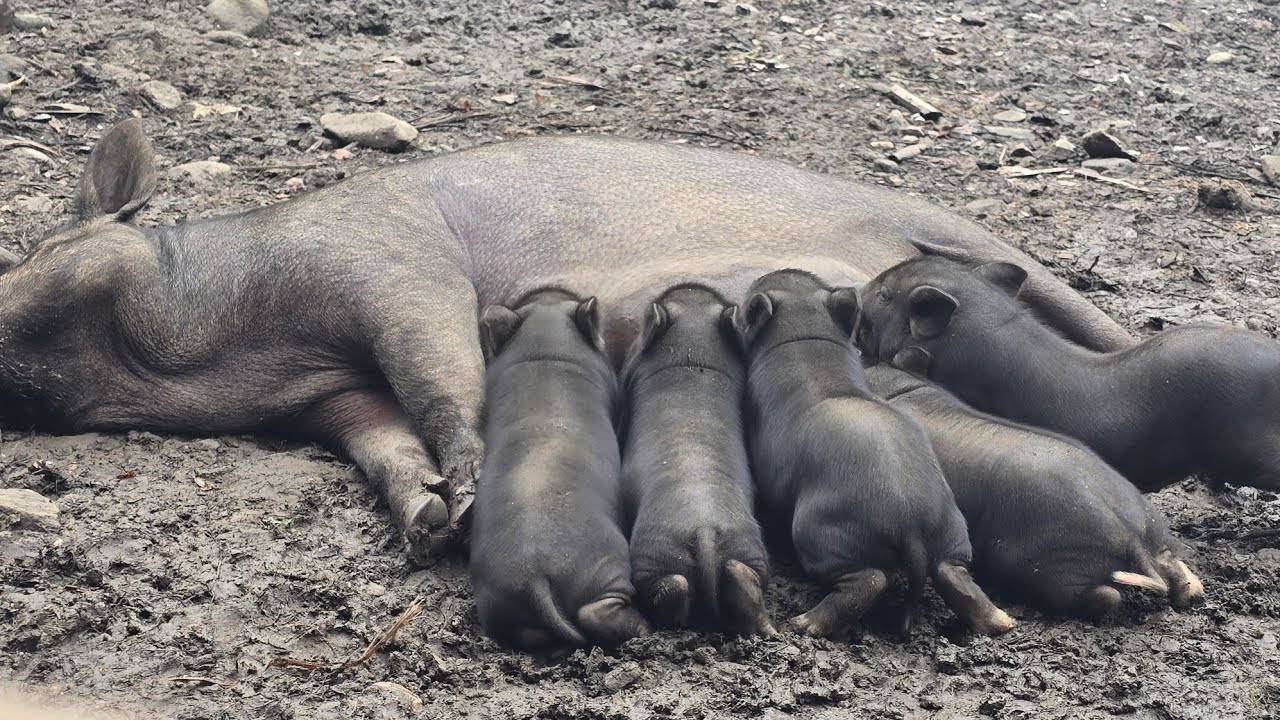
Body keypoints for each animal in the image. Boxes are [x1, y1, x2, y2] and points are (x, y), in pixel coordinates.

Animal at [6, 119, 1136, 559]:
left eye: (29, 249)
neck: (223, 356)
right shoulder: (327, 393)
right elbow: (379, 437)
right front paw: (429, 518)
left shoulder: (389, 262)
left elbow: (437, 373)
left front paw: (466, 499)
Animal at [469, 288, 648, 651]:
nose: (550, 290)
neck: (546, 353)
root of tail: (534, 575)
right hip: (604, 565)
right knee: (595, 611)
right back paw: (644, 629)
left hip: (498, 608)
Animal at [619, 284, 772, 635]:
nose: (690, 284)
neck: (692, 359)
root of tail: (704, 529)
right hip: (749, 550)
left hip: (654, 556)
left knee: (673, 587)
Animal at [735, 269, 1016, 638]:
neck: (805, 336)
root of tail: (910, 525)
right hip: (953, 531)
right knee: (956, 576)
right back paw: (1004, 623)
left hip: (823, 532)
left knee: (868, 580)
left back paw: (802, 624)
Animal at [865, 357, 1204, 616]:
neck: (899, 393)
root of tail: (1128, 535)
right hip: (1155, 532)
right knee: (1174, 569)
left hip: (1048, 567)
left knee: (1106, 596)